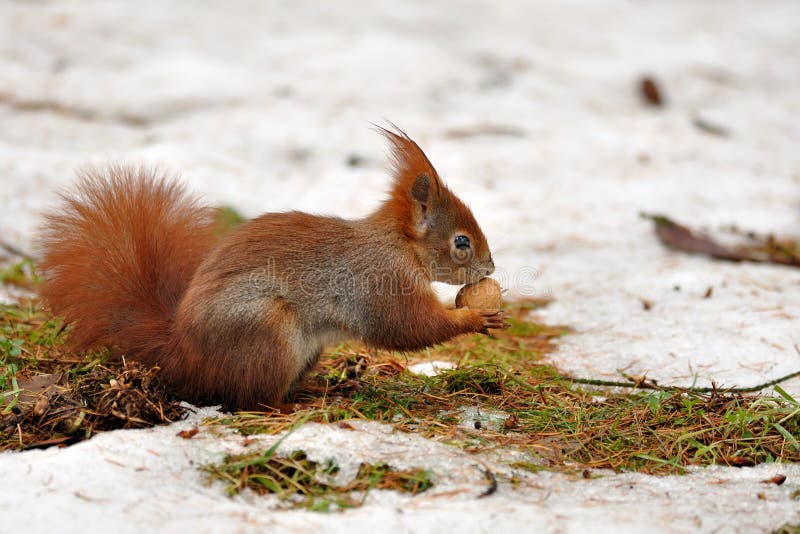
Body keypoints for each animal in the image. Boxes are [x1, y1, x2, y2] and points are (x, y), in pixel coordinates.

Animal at [38, 127, 506, 411]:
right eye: (461, 242)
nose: (491, 267)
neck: (400, 246)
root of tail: (183, 355)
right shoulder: (380, 282)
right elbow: (407, 327)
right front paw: (475, 316)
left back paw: (318, 387)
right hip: (266, 332)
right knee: (253, 398)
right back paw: (294, 404)